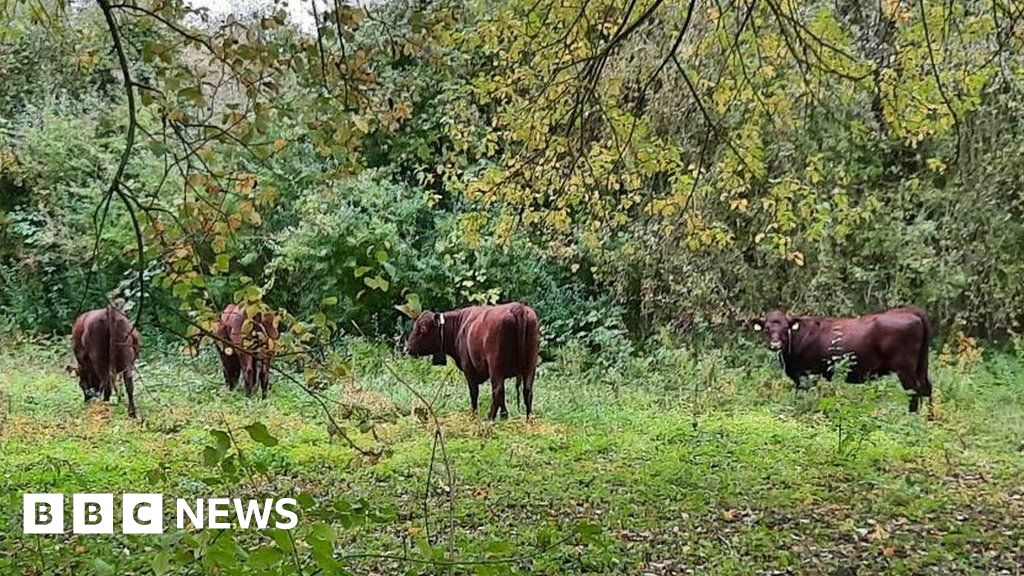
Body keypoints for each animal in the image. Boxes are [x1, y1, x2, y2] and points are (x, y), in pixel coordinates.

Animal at [405, 302, 540, 420]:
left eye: (423, 328)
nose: (407, 348)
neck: (459, 326)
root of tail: (517, 307)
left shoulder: (468, 369)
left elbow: (474, 393)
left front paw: (473, 416)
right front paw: (504, 416)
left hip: (495, 366)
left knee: (497, 391)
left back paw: (490, 418)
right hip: (530, 364)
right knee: (527, 391)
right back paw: (529, 419)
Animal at [751, 307, 934, 413]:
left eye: (785, 328)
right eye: (767, 328)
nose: (775, 344)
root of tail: (910, 311)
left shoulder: (807, 375)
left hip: (905, 368)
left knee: (914, 392)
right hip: (920, 365)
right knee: (927, 388)